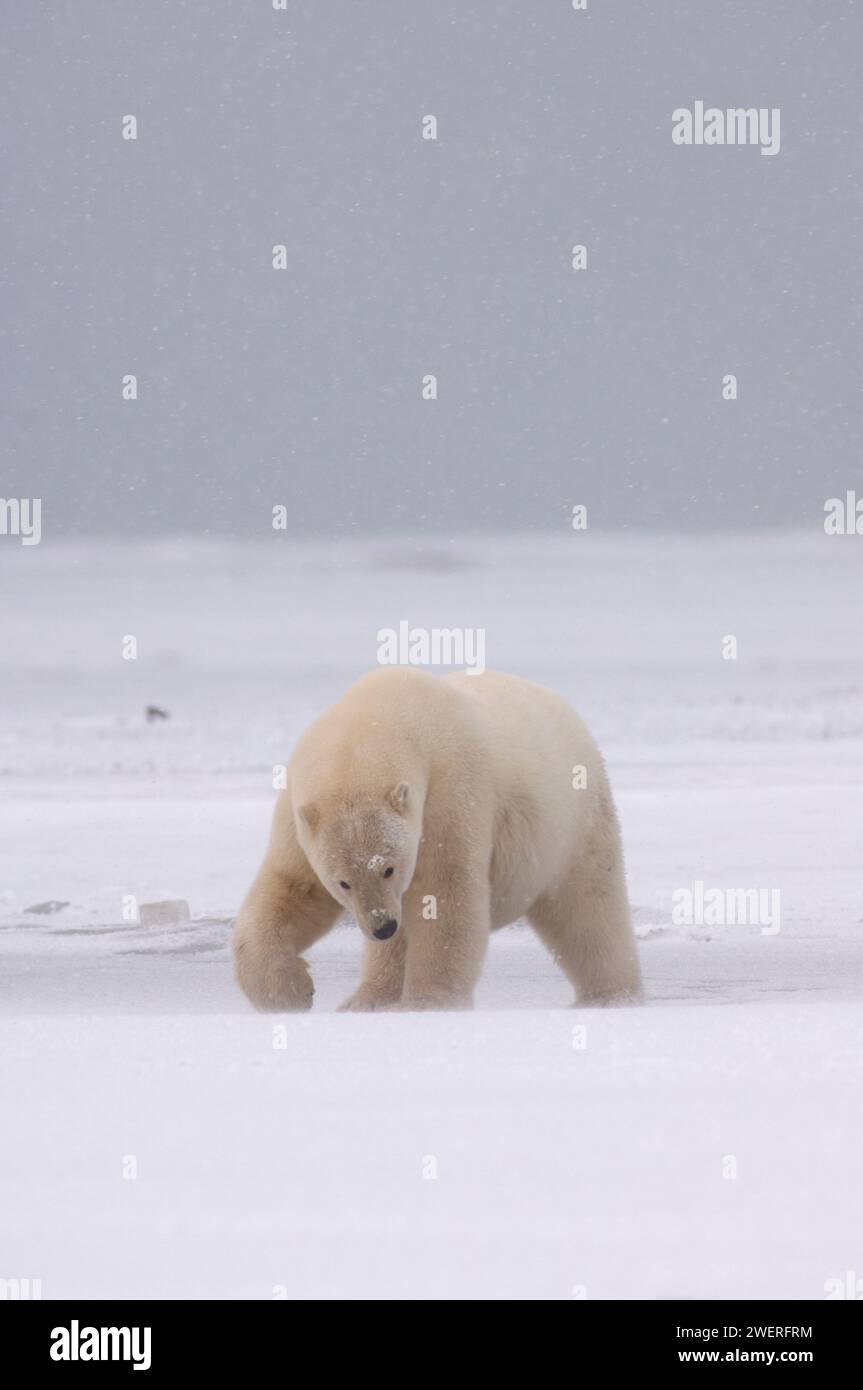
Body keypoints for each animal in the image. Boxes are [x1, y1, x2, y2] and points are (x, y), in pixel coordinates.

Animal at [233, 667, 642, 1012]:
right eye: (343, 882)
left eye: (388, 868)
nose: (381, 926)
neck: (372, 721)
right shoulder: (298, 816)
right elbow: (294, 890)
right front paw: (289, 991)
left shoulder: (449, 793)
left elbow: (444, 893)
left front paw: (429, 1003)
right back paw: (367, 999)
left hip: (572, 821)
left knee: (588, 907)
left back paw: (610, 995)